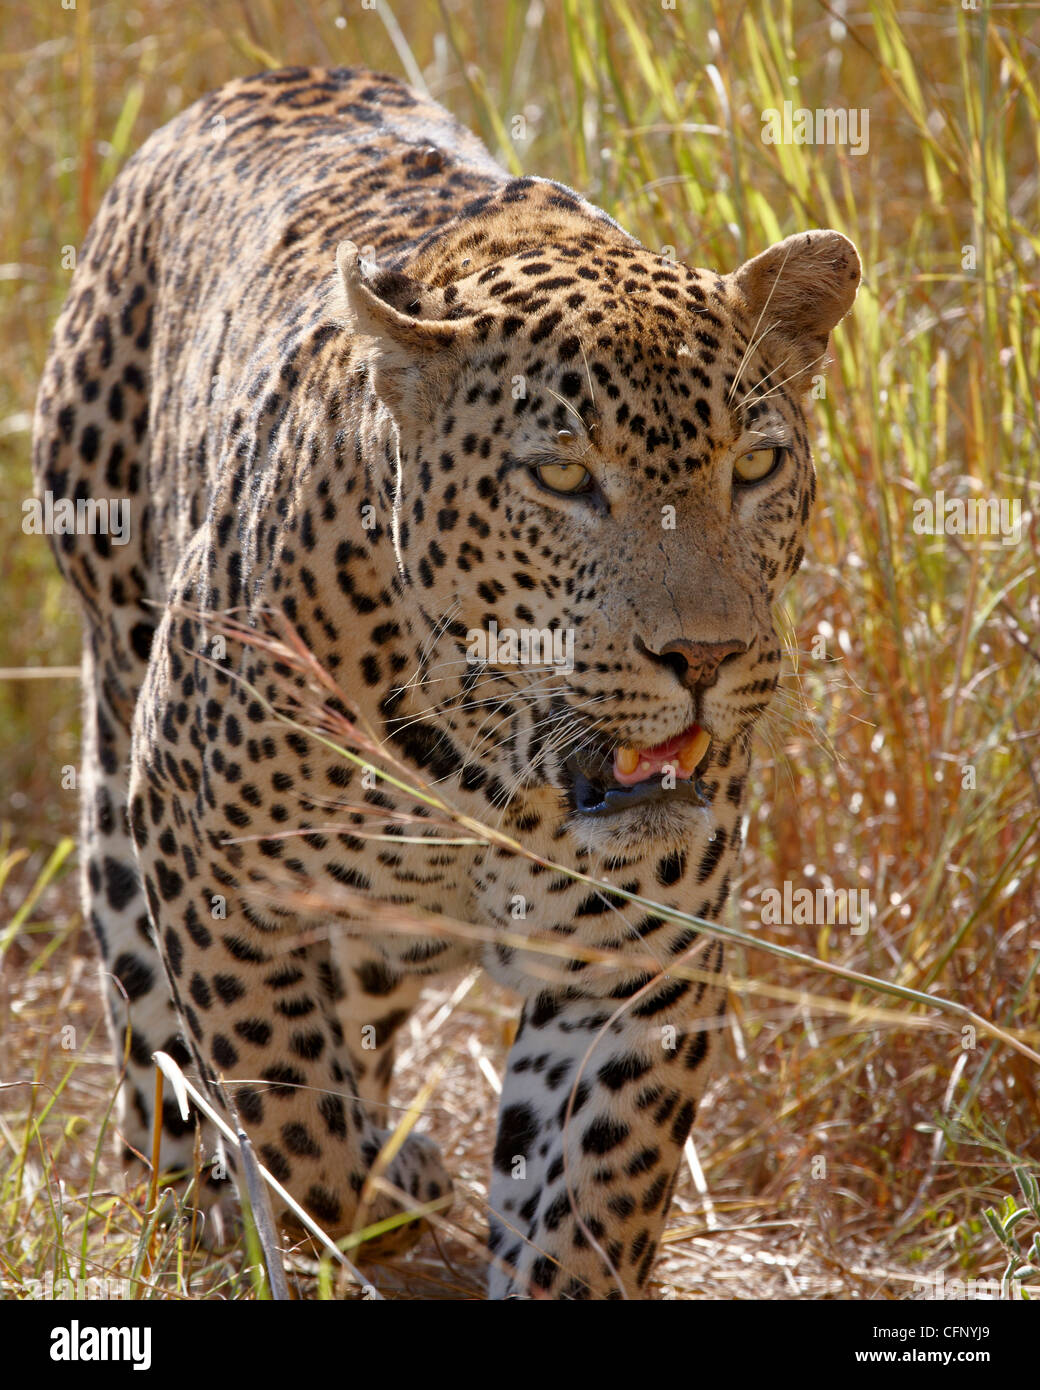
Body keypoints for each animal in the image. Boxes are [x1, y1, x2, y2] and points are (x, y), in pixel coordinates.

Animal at [32, 65, 860, 1299]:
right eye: (561, 478)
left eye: (755, 465)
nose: (705, 658)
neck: (492, 768)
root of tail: (257, 79)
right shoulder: (216, 872)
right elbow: (292, 1123)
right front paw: (318, 1219)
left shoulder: (638, 962)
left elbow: (586, 1207)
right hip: (118, 702)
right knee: (146, 1001)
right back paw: (187, 1190)